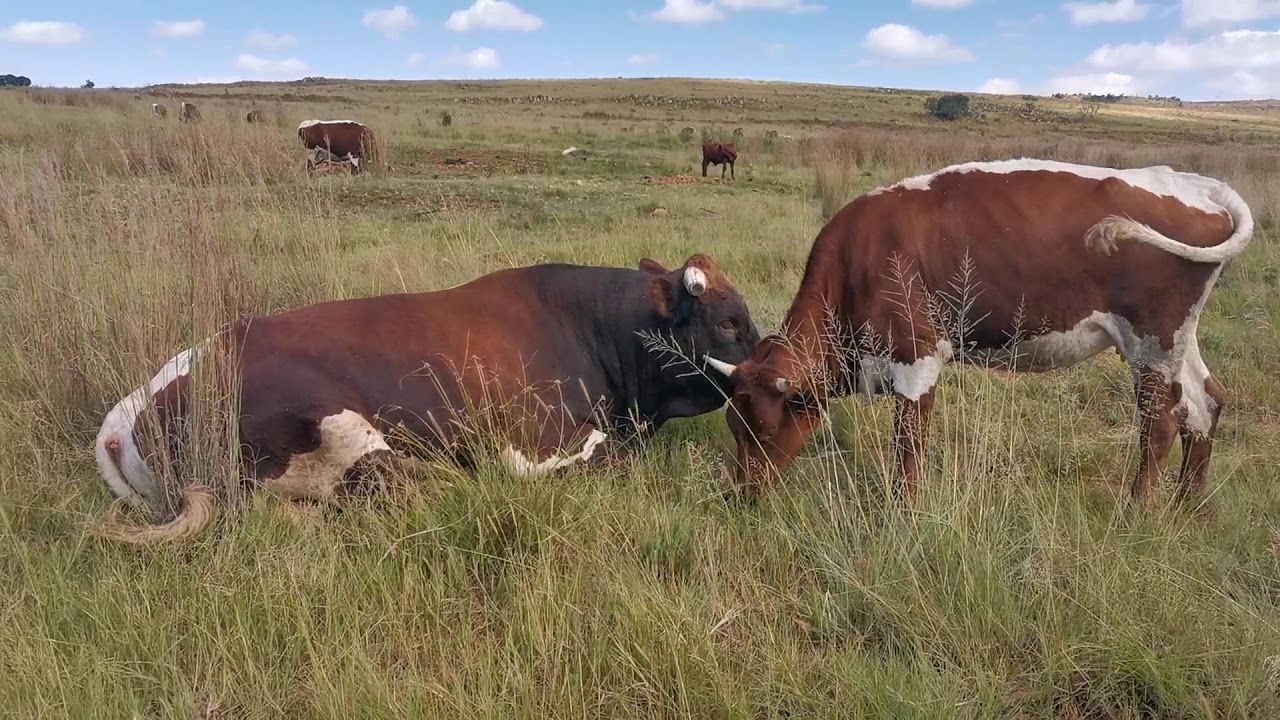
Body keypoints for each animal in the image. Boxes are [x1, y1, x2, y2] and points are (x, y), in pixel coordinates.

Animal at [704, 159, 1254, 507]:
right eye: (734, 426)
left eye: (766, 430)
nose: (741, 493)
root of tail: (1195, 184)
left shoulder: (917, 358)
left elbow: (908, 444)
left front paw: (903, 511)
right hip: (1175, 340)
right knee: (1204, 405)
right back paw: (1186, 506)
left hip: (1151, 339)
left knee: (1160, 423)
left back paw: (1136, 511)